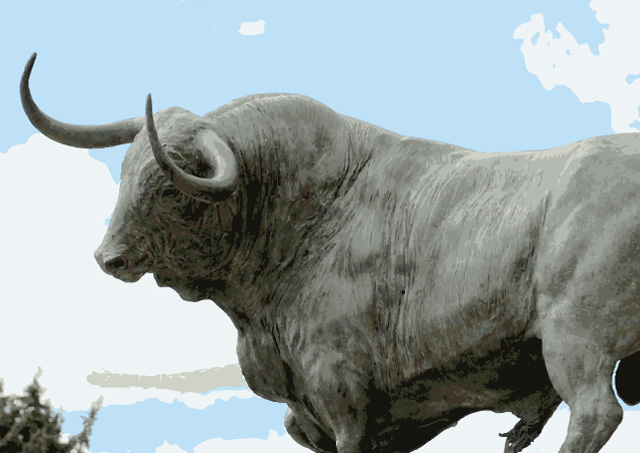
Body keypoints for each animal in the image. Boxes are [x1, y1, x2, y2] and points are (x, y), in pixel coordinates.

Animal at [20, 52, 640, 453]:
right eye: (126, 171)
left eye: (172, 186)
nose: (109, 257)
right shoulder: (319, 416)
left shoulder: (341, 388)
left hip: (576, 338)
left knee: (594, 414)